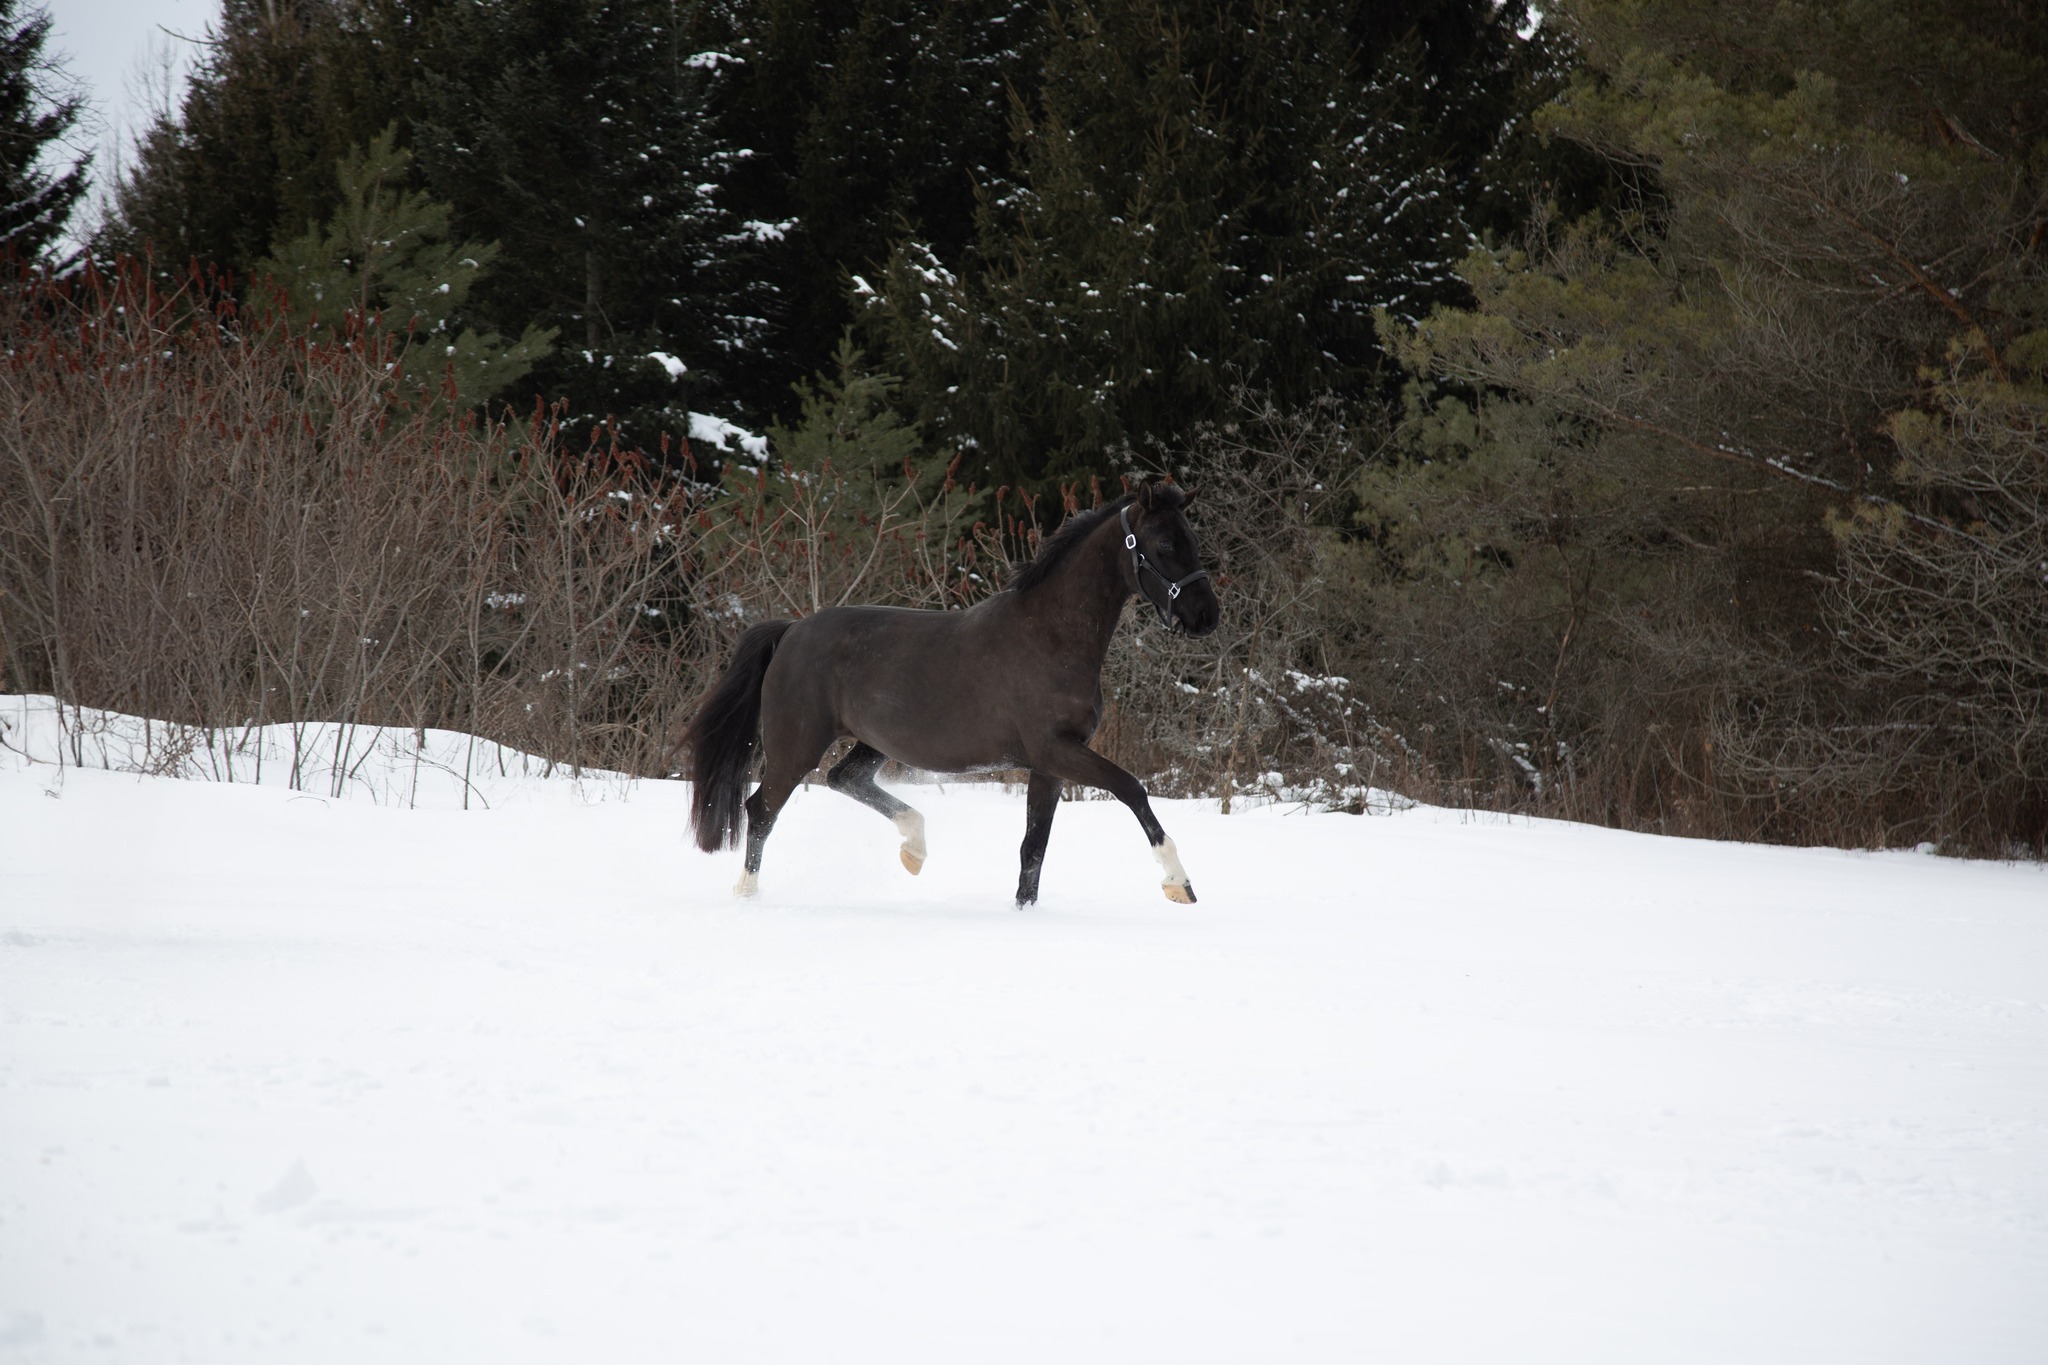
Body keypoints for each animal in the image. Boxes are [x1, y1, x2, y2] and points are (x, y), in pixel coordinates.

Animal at [680, 480, 1221, 907]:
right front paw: (1179, 883)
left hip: (873, 742)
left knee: (842, 778)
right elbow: (1132, 788)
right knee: (761, 811)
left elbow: (1033, 848)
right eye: (1164, 543)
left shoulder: (1050, 764)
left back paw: (914, 848)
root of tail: (791, 631)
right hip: (796, 747)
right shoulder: (1058, 750)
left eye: (1193, 539)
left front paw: (1024, 912)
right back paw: (747, 894)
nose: (1206, 616)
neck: (1050, 636)